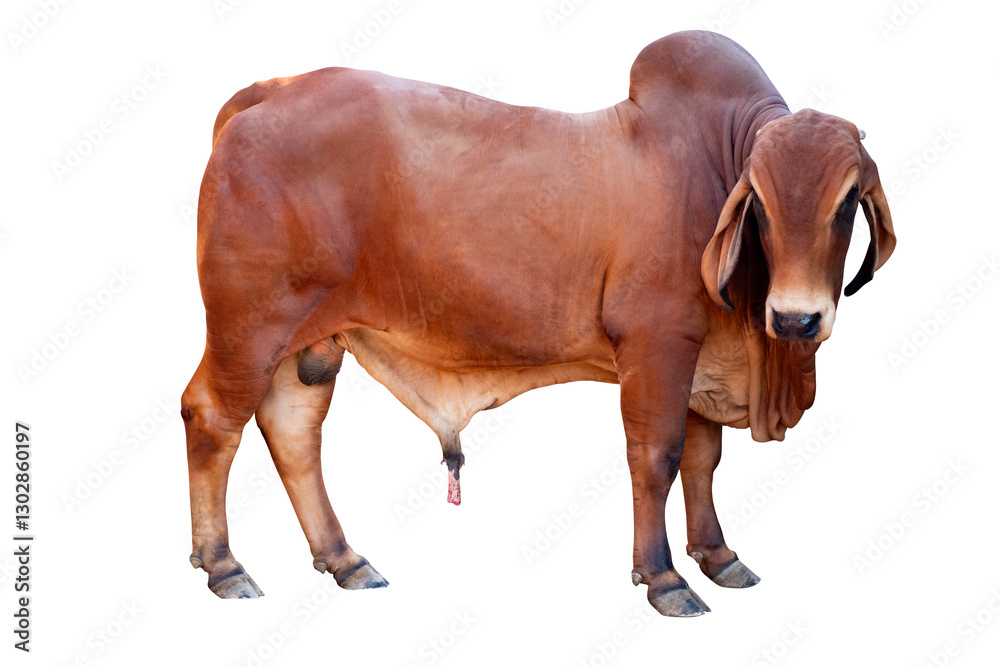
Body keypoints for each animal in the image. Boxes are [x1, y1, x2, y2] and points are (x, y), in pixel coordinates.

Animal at [182, 29, 895, 616]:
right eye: (762, 208)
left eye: (846, 203)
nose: (796, 319)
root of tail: (272, 91)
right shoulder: (657, 343)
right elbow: (657, 457)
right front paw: (664, 578)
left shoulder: (699, 357)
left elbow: (702, 458)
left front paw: (718, 557)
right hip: (249, 327)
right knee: (213, 418)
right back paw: (225, 567)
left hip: (308, 345)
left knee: (292, 432)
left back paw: (344, 559)